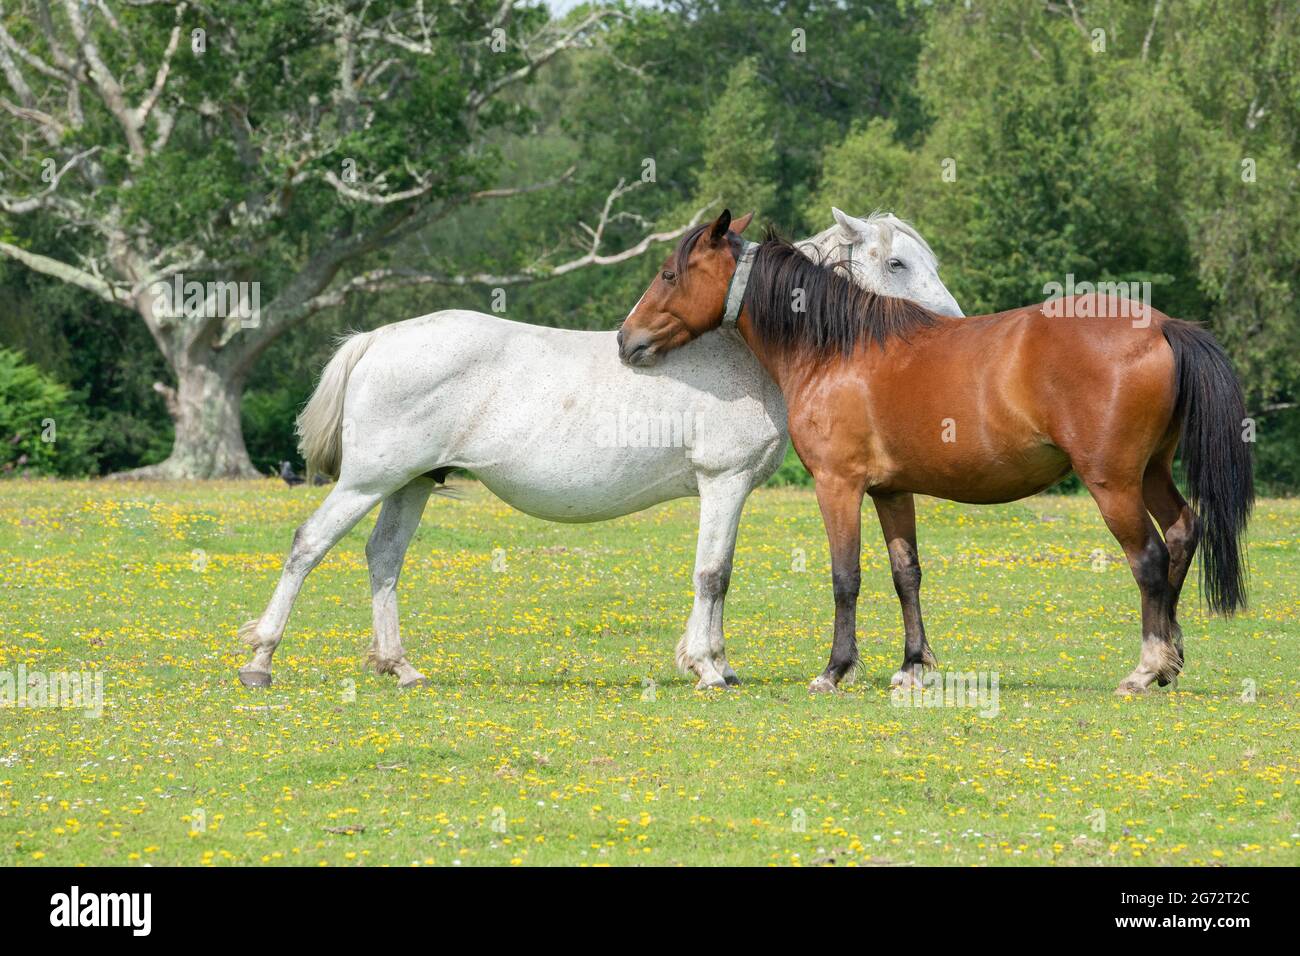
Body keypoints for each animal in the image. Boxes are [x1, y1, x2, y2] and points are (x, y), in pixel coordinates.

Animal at [236, 211, 963, 690]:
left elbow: (717, 574)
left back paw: (400, 666)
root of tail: (380, 337)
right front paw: (707, 667)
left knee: (384, 558)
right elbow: (714, 574)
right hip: (367, 481)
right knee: (308, 545)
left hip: (411, 483)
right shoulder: (722, 482)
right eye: (898, 262)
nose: (955, 325)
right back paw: (260, 661)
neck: (746, 350)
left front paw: (715, 661)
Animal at [616, 210, 1253, 696]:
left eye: (669, 273)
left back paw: (1145, 669)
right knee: (1182, 534)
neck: (837, 349)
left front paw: (834, 671)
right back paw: (1170, 661)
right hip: (1150, 473)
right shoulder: (892, 491)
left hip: (1113, 483)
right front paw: (911, 667)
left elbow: (845, 576)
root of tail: (1163, 325)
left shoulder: (838, 485)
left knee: (1148, 557)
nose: (627, 340)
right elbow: (907, 574)